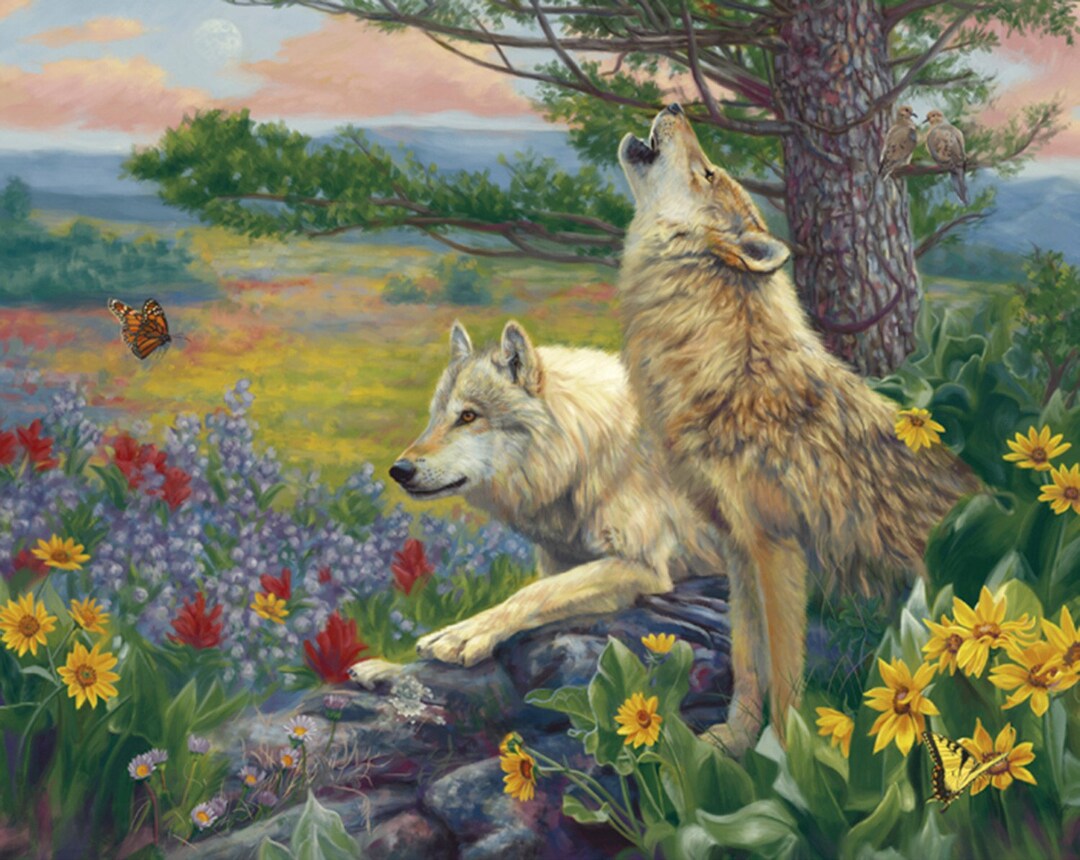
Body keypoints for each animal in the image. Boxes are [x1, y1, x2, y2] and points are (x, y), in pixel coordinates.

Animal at [352, 320, 734, 699]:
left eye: (468, 416)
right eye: (434, 418)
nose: (398, 471)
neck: (586, 455)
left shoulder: (641, 566)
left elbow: (531, 594)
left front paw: (459, 636)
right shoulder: (561, 563)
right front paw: (387, 669)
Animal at [616, 104, 979, 746]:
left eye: (708, 173)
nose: (677, 106)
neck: (723, 366)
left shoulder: (776, 544)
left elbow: (785, 676)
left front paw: (789, 759)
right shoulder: (736, 546)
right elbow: (746, 657)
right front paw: (735, 740)